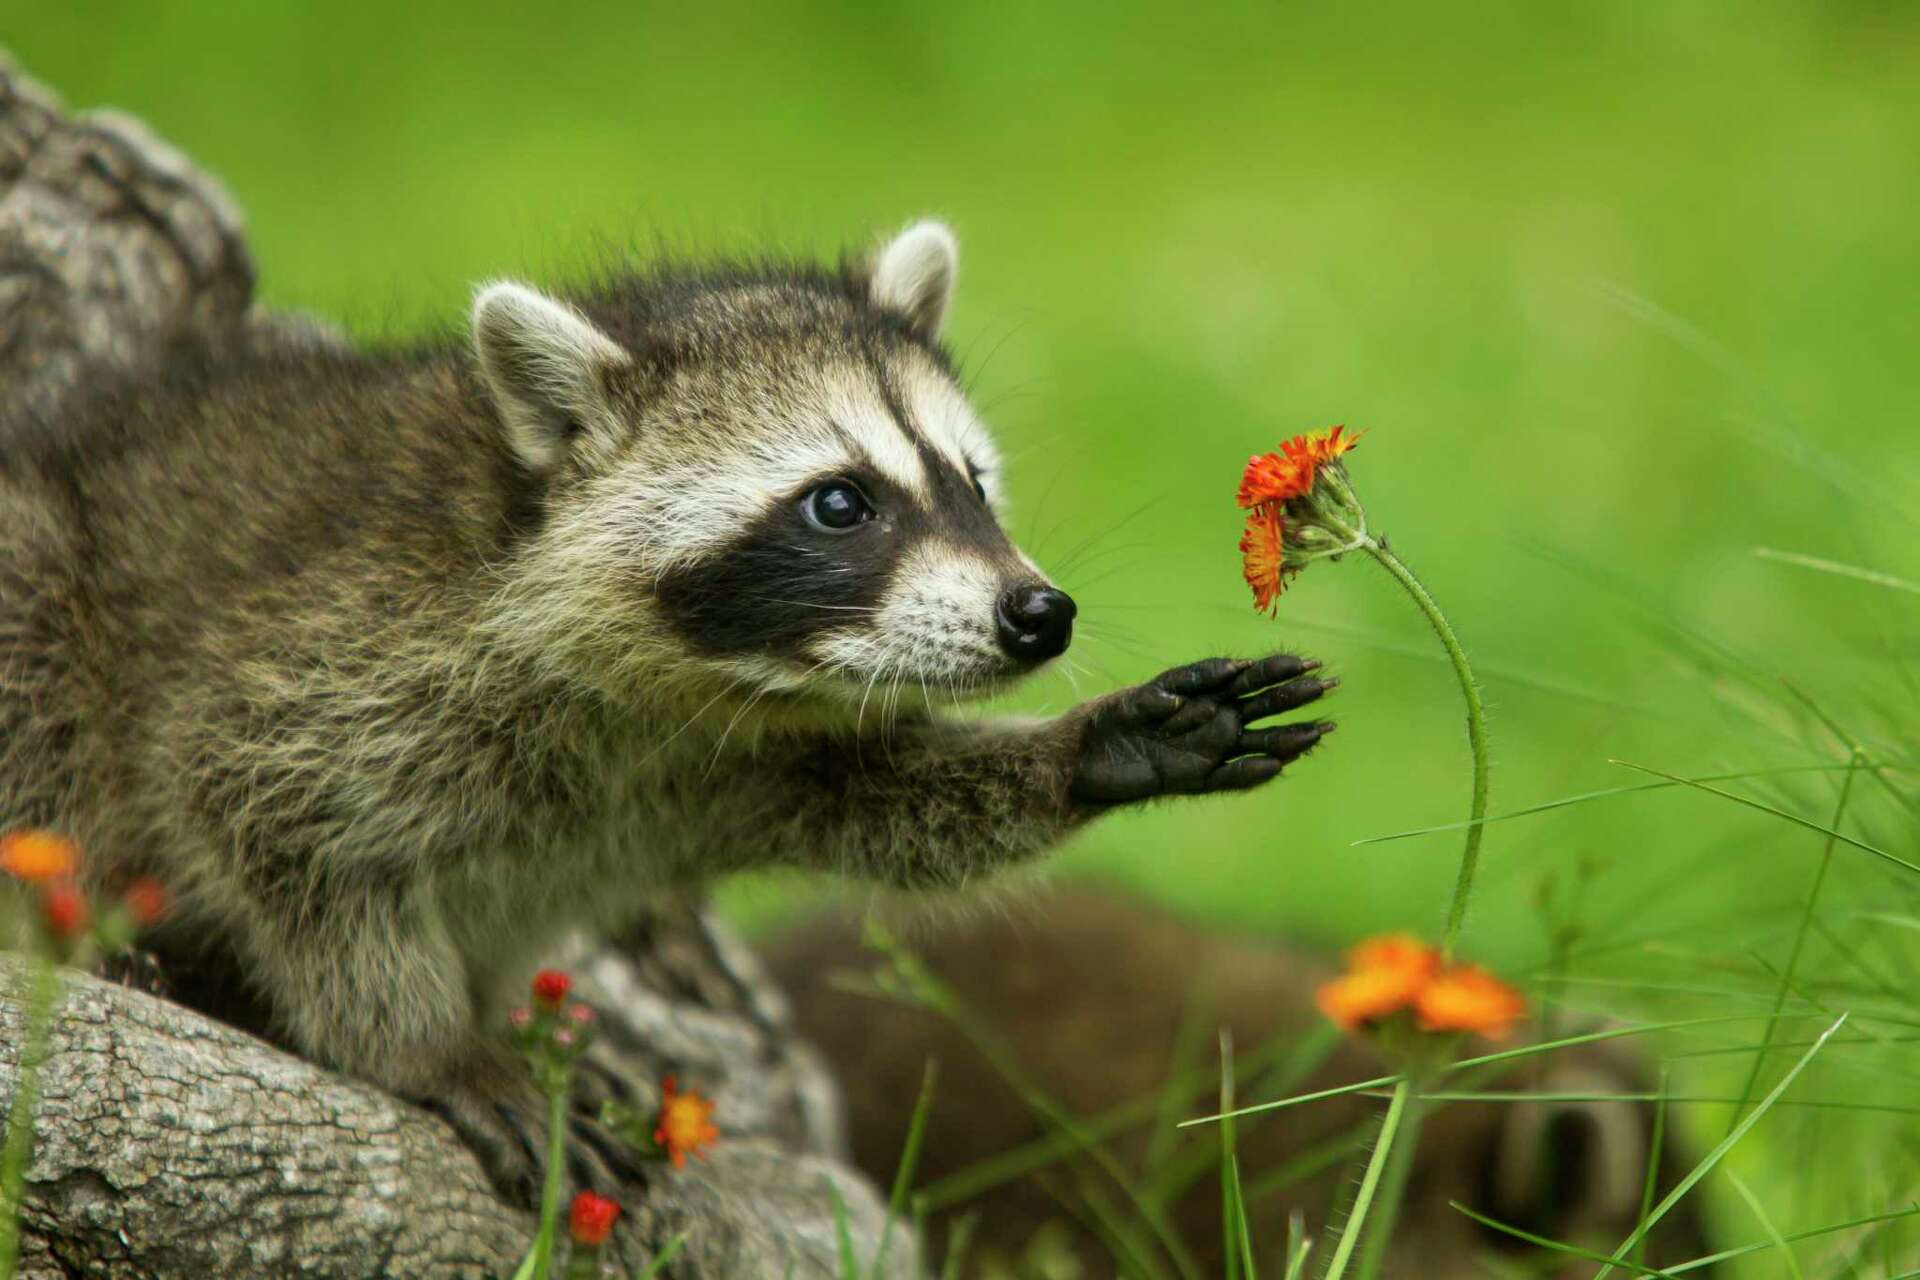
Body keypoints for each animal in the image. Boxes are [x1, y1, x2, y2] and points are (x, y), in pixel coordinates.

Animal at [0, 222, 1336, 1196]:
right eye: (840, 502)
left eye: (970, 481)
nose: (1038, 615)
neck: (686, 685)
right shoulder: (334, 651)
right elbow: (267, 814)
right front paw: (424, 1041)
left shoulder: (728, 757)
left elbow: (883, 803)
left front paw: (1093, 748)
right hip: (44, 583)